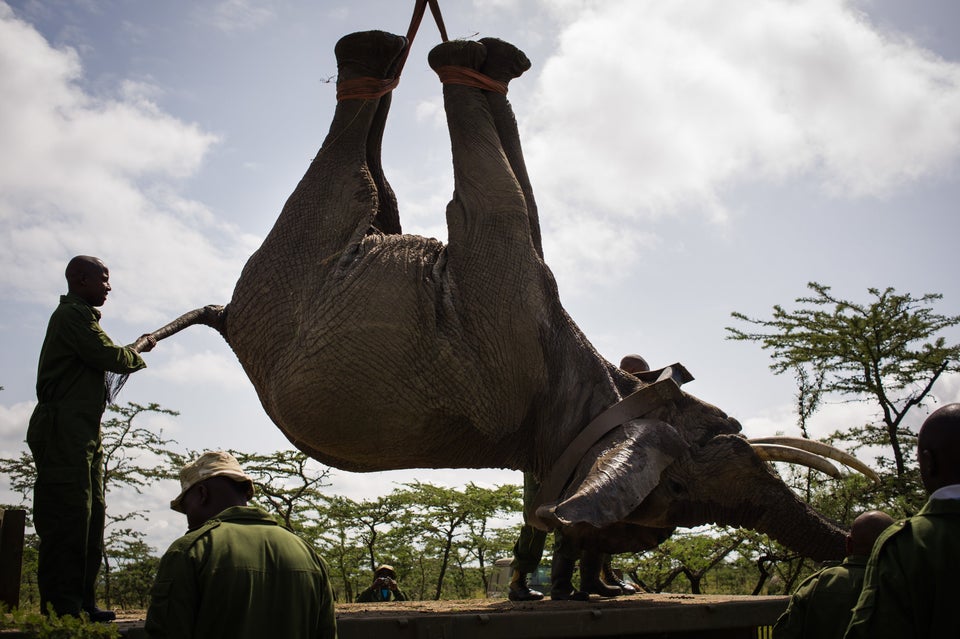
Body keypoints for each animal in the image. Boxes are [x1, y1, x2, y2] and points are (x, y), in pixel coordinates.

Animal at [140, 31, 876, 564]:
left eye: (674, 493)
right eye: (715, 438)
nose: (853, 536)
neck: (586, 402)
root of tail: (227, 318)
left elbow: (518, 202)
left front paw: (490, 64)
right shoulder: (510, 312)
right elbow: (500, 203)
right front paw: (483, 62)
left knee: (373, 182)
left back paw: (404, 54)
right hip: (297, 258)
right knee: (361, 178)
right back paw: (414, 55)